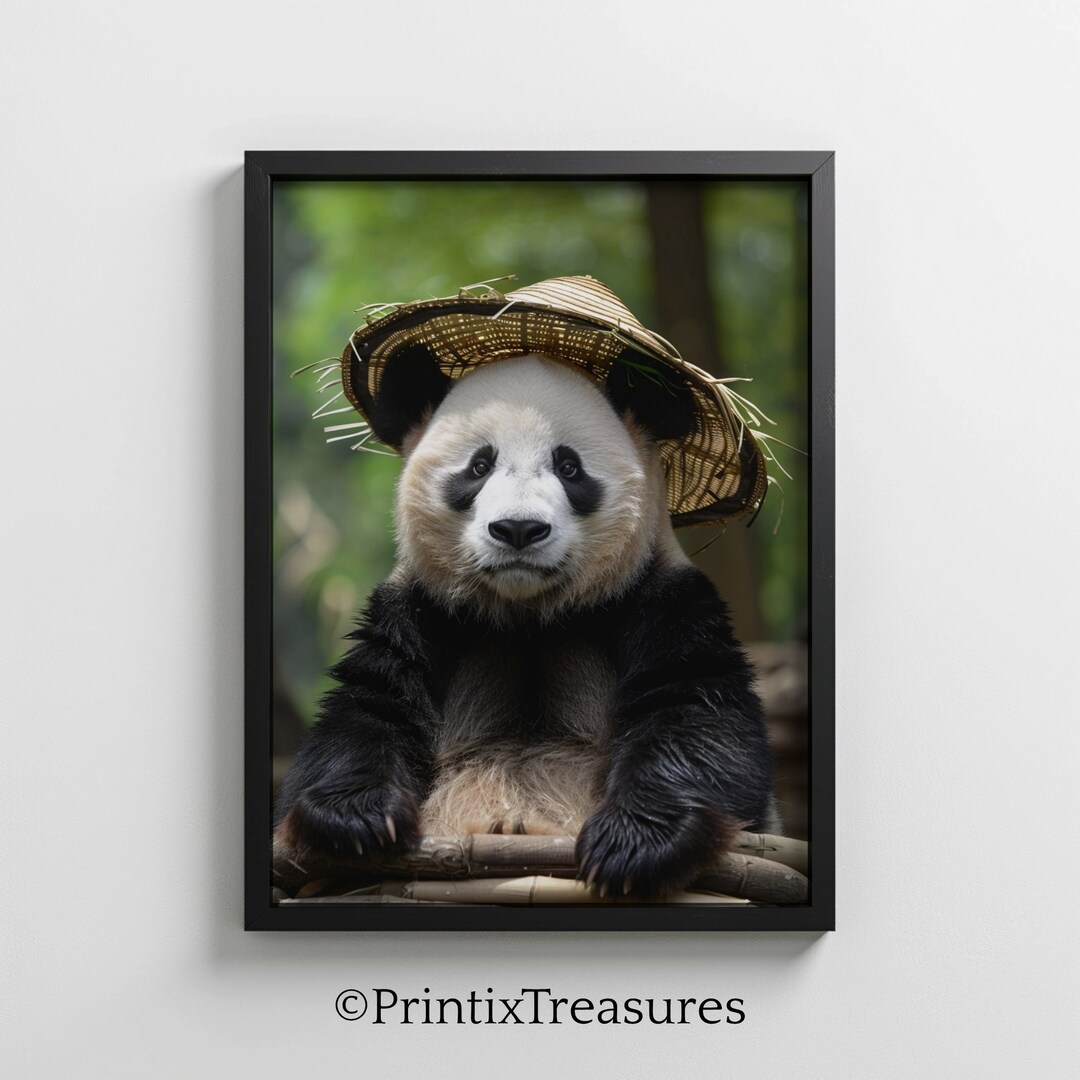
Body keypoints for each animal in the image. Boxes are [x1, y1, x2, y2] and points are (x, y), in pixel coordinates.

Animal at [274, 350, 777, 897]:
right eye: (479, 465)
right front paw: (359, 820)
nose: (518, 529)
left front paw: (631, 843)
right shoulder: (419, 613)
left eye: (569, 466)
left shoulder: (663, 600)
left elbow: (695, 713)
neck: (529, 616)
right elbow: (370, 710)